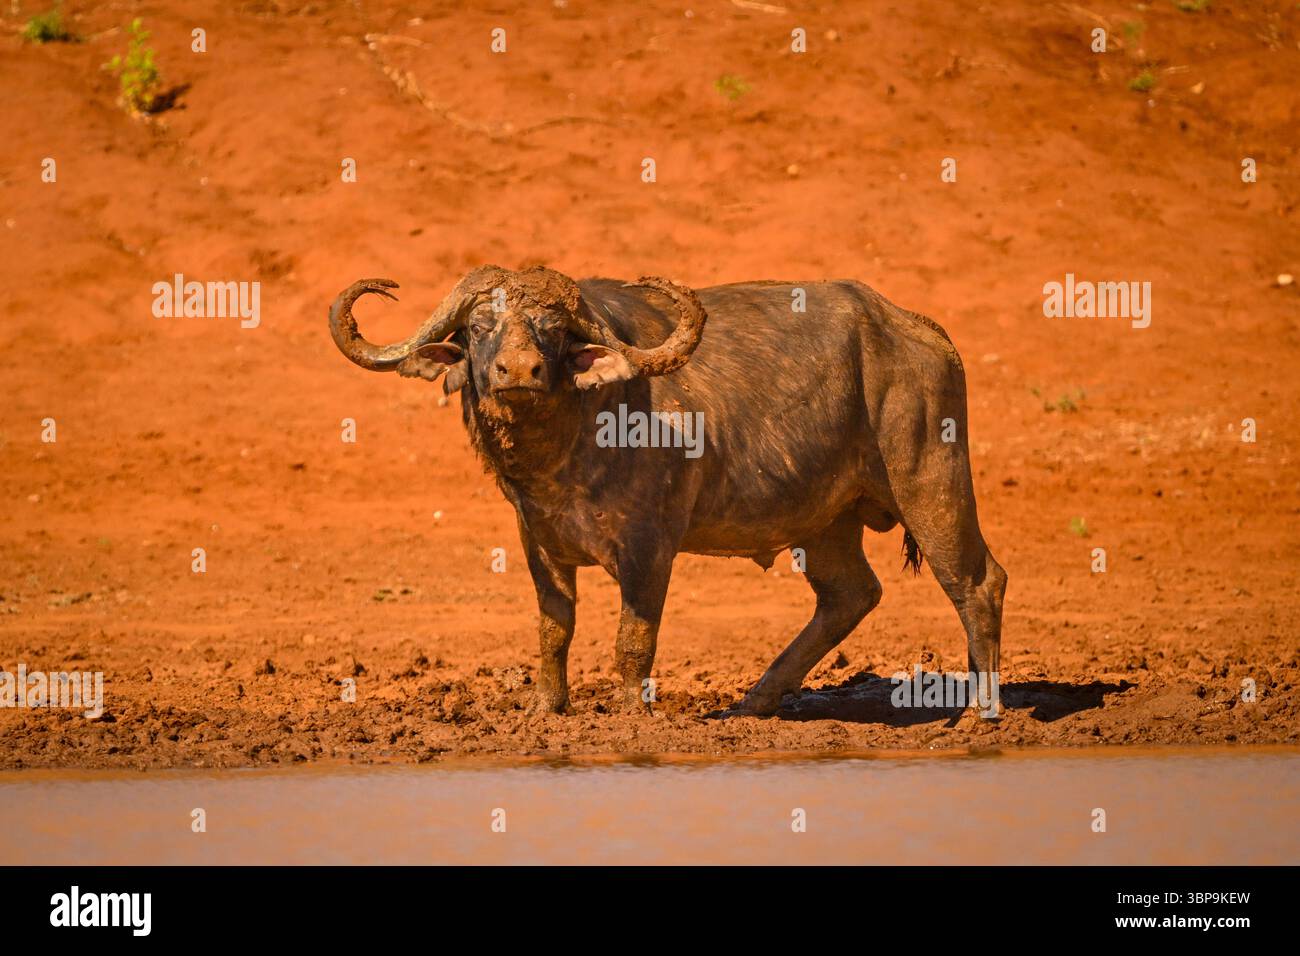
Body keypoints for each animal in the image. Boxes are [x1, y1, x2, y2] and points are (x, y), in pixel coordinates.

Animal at [329, 266, 1006, 717]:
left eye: (553, 329)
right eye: (478, 327)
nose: (518, 371)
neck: (569, 448)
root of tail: (917, 330)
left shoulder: (651, 543)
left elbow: (634, 638)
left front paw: (633, 713)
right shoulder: (536, 539)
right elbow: (554, 629)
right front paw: (548, 708)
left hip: (930, 477)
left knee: (977, 582)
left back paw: (979, 710)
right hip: (824, 522)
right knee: (851, 594)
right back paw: (753, 702)